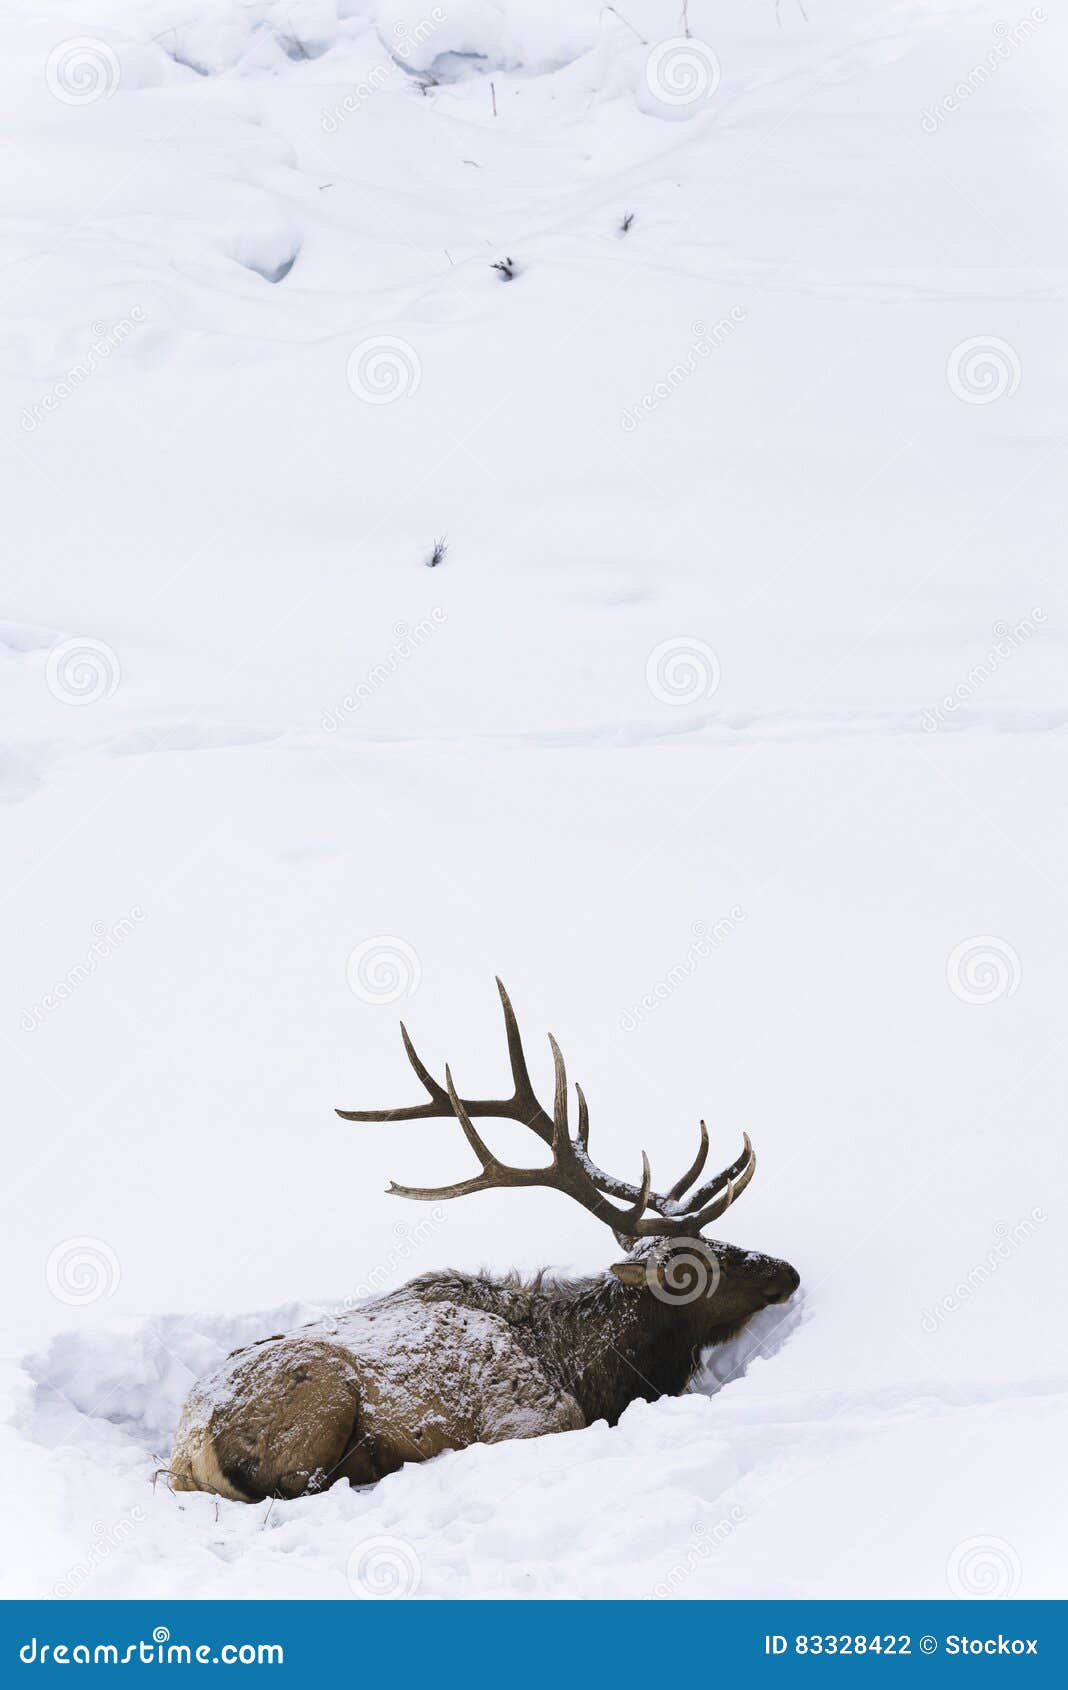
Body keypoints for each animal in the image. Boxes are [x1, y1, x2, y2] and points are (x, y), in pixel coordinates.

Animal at [169, 981, 799, 1502]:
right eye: (697, 1266)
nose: (788, 1271)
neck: (591, 1368)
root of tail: (188, 1449)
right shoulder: (529, 1417)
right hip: (321, 1401)